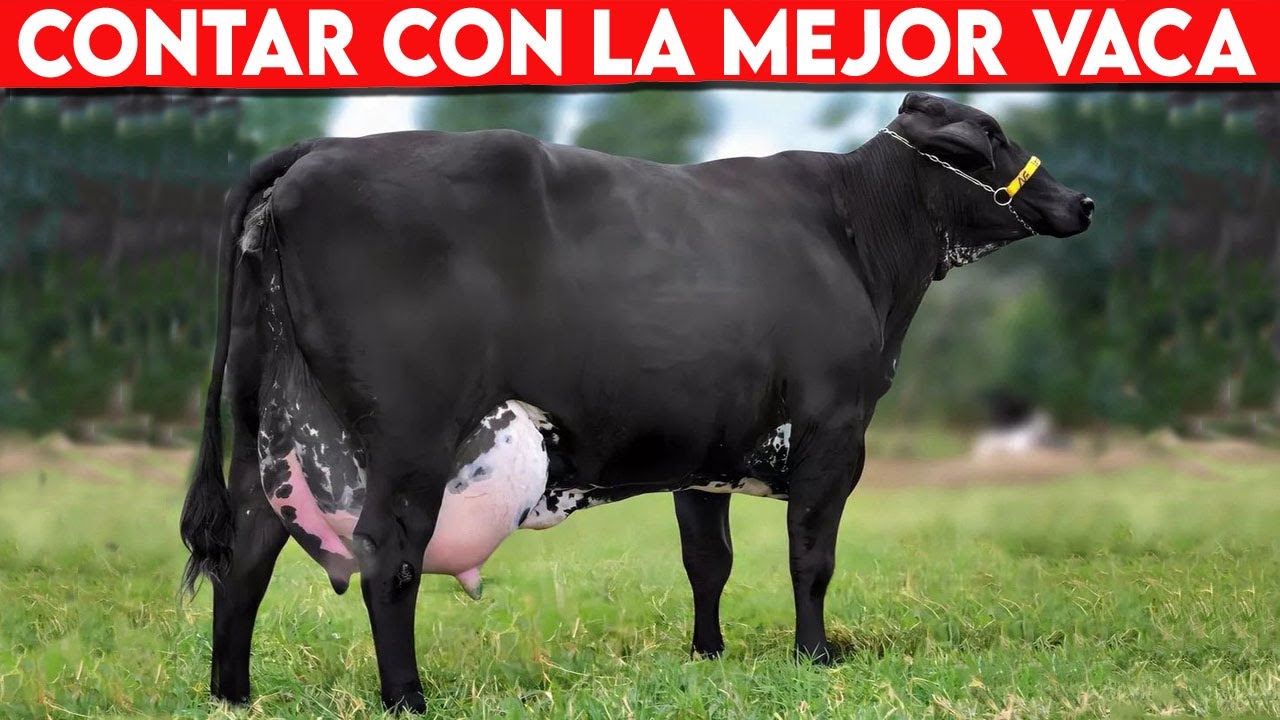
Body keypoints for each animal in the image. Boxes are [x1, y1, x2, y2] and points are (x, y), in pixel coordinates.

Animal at [179, 92, 1093, 713]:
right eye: (990, 134)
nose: (1080, 202)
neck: (856, 234)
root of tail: (317, 153)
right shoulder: (835, 428)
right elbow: (811, 557)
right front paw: (816, 655)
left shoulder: (708, 447)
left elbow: (708, 561)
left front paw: (708, 655)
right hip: (409, 438)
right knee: (385, 557)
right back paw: (407, 697)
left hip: (272, 426)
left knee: (248, 552)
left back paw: (233, 693)